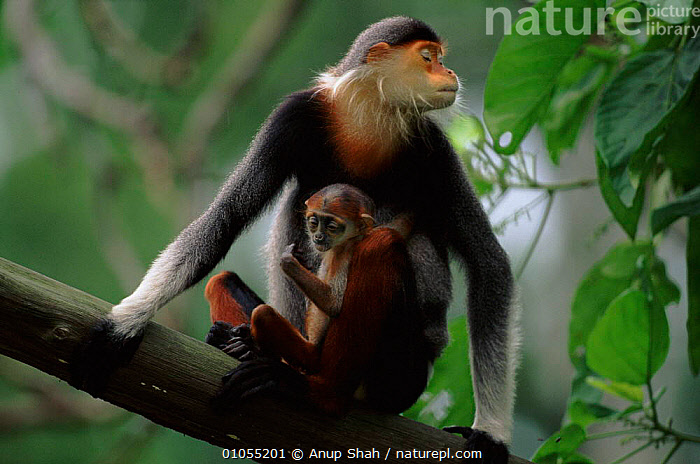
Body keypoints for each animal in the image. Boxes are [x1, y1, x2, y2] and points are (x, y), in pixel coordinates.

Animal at [70, 17, 518, 463]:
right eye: (429, 57)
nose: (450, 73)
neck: (369, 119)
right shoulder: (292, 117)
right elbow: (225, 218)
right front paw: (125, 323)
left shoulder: (434, 151)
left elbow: (488, 262)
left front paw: (491, 433)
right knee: (225, 281)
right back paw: (243, 346)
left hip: (398, 372)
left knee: (380, 248)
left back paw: (311, 387)